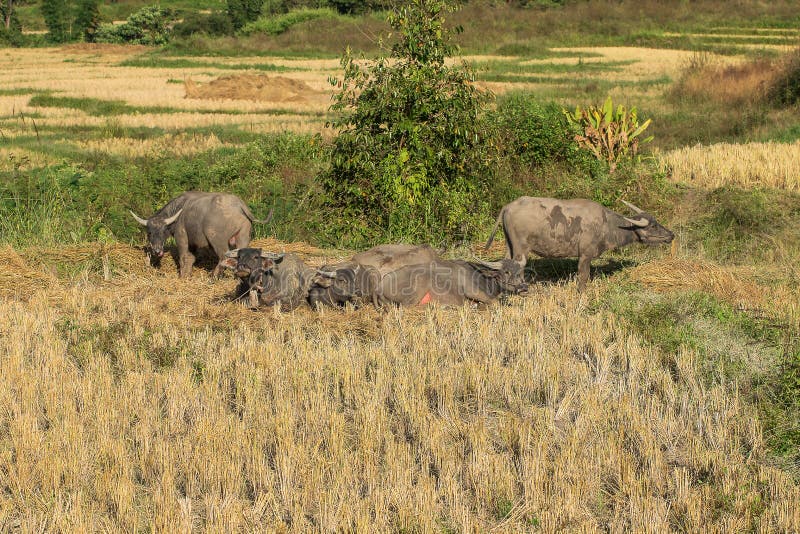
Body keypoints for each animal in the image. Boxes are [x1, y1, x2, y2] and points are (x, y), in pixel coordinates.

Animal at [130, 192, 272, 278]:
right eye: (149, 232)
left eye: (164, 231)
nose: (157, 251)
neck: (179, 211)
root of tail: (238, 205)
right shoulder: (193, 243)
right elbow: (191, 258)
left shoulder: (181, 238)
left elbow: (183, 257)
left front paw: (182, 275)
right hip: (243, 237)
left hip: (217, 240)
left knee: (223, 257)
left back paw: (214, 276)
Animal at [484, 197, 674, 290]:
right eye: (654, 226)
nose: (671, 235)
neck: (607, 224)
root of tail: (508, 207)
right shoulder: (585, 256)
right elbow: (583, 278)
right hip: (521, 249)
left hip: (509, 246)